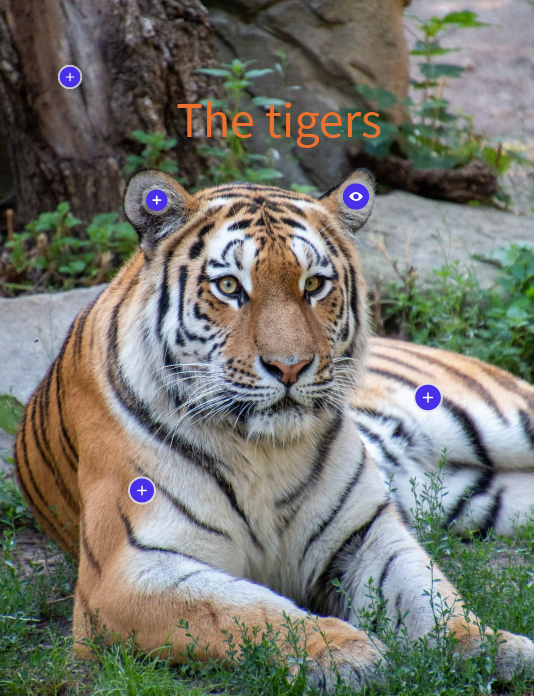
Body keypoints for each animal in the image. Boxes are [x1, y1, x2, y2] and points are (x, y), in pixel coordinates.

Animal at [14, 168, 534, 691]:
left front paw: (490, 645)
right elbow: (249, 612)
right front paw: (345, 654)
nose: (290, 367)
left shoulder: (365, 532)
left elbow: (429, 596)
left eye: (315, 285)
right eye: (229, 286)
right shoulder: (126, 573)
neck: (264, 451)